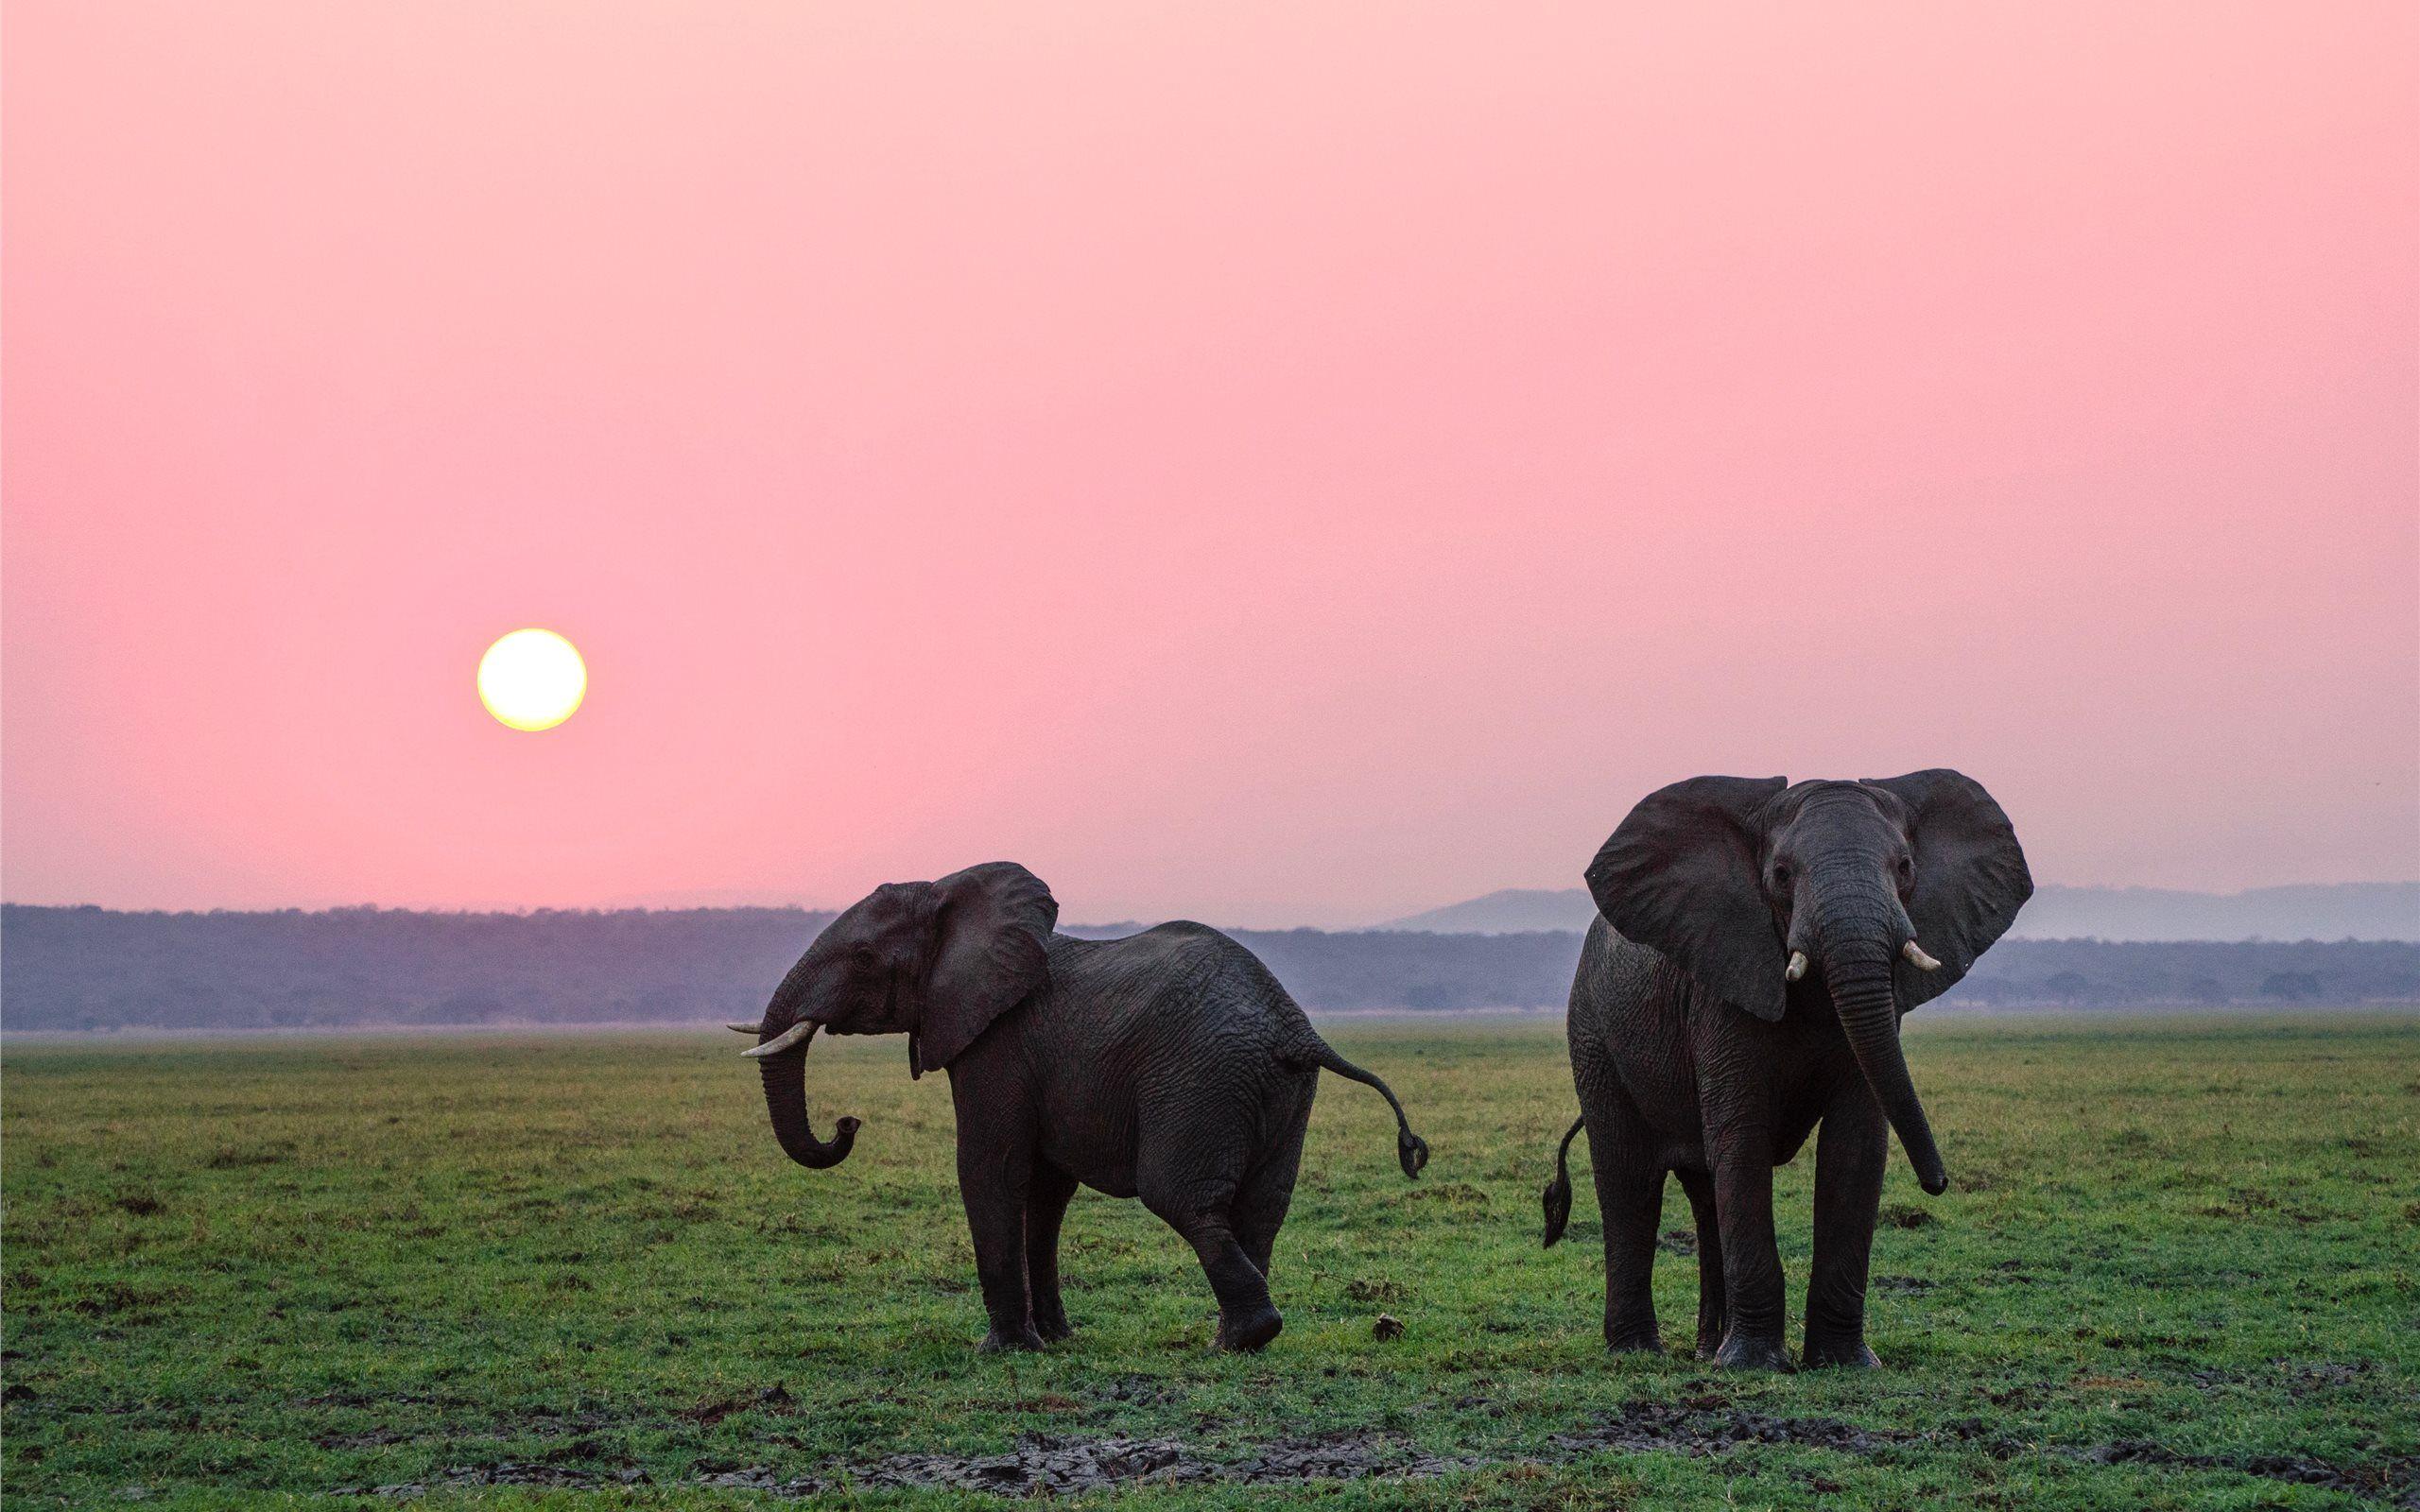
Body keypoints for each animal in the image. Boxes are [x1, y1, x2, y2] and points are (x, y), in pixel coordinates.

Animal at [731, 861, 1430, 1353]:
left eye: (863, 958)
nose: (847, 1123)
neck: (951, 893)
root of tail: (1294, 1027)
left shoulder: (998, 1044)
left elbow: (990, 1169)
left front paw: (1004, 1350)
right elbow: (1045, 1192)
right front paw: (1057, 1341)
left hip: (1202, 1079)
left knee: (1180, 1197)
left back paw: (1238, 1340)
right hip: (1278, 1090)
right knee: (1261, 1208)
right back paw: (1237, 1340)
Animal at [1540, 771, 2030, 1369]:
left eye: (1905, 867)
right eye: (1780, 874)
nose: (1938, 1183)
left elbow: (1855, 1147)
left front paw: (1845, 1364)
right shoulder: (1723, 983)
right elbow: (1743, 1139)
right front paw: (1752, 1365)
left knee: (1705, 1192)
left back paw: (1706, 1352)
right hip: (1594, 1036)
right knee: (1630, 1179)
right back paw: (1640, 1353)